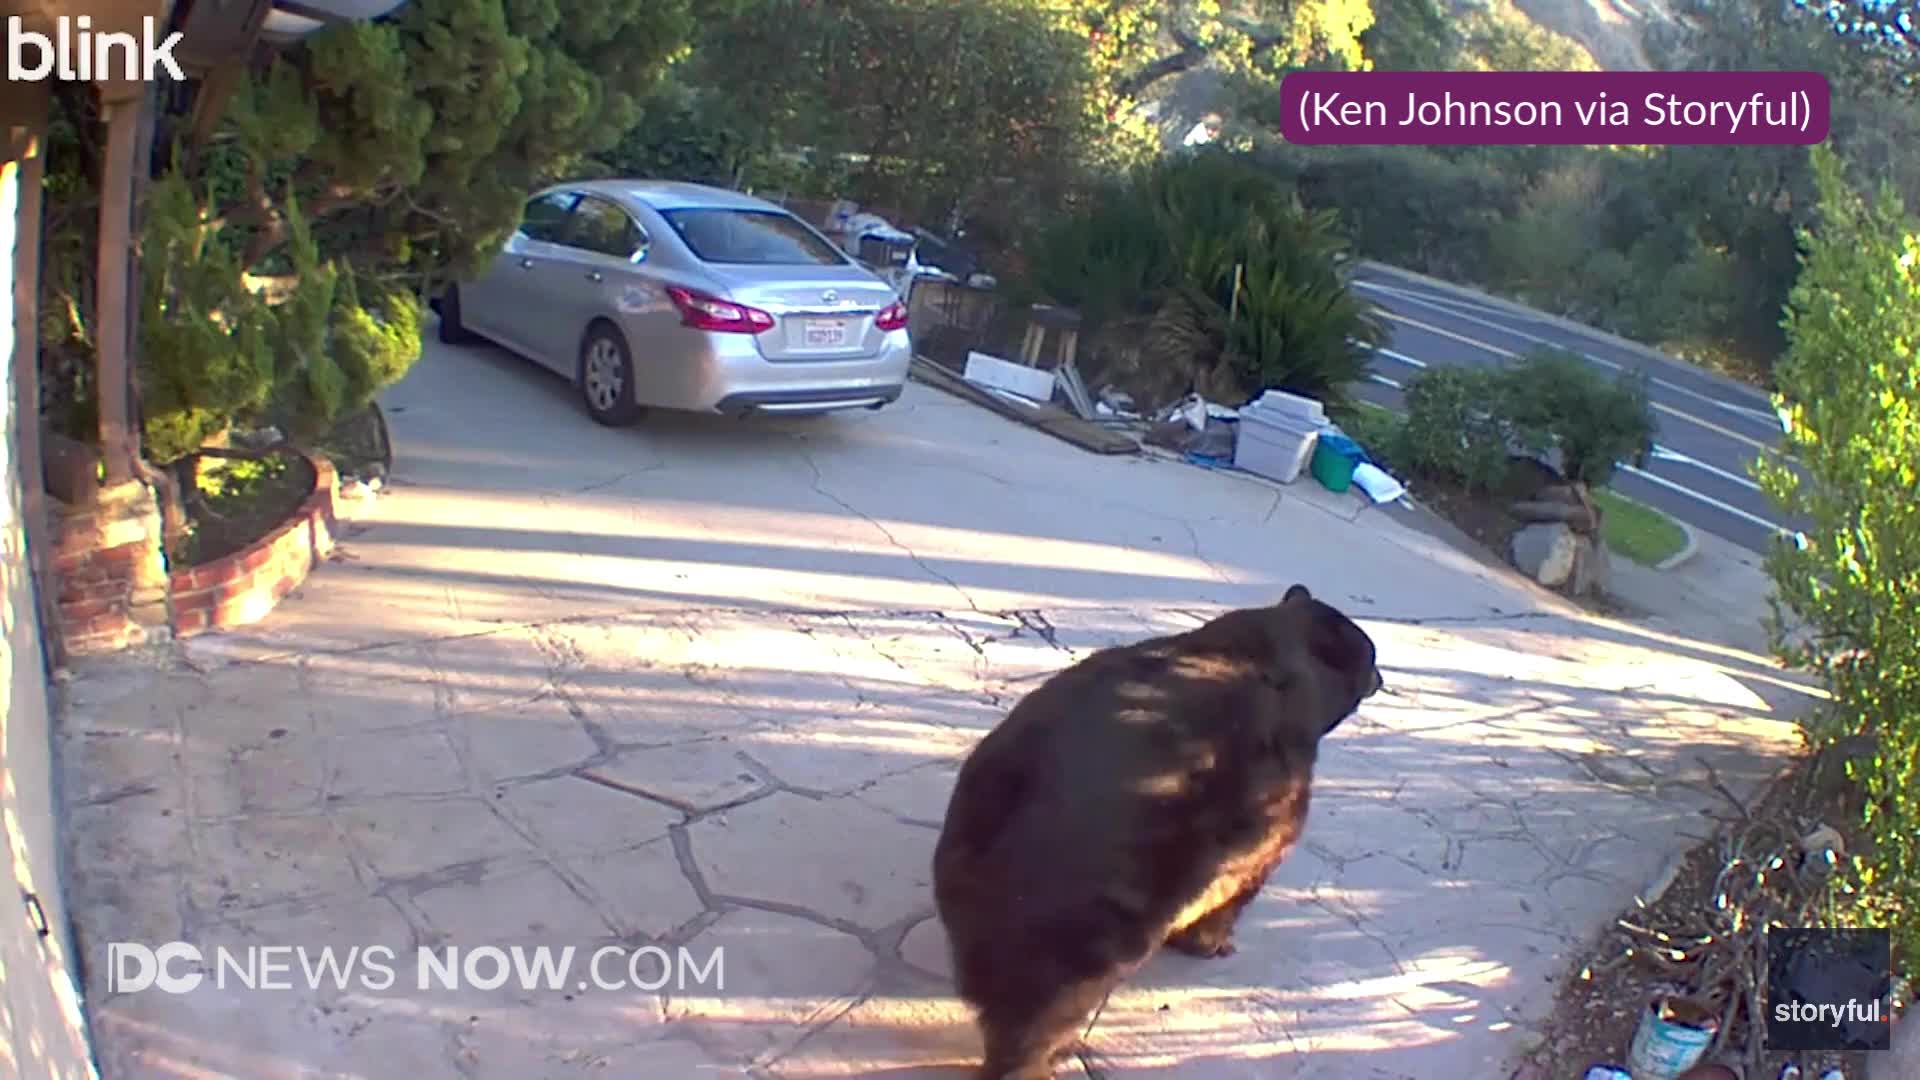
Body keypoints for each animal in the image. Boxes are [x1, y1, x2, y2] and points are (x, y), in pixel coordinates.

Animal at [931, 584, 1383, 1080]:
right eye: (1371, 656)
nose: (1381, 677)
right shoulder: (1273, 789)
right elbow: (1248, 873)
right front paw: (1212, 942)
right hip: (1096, 891)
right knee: (1051, 997)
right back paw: (1039, 1057)